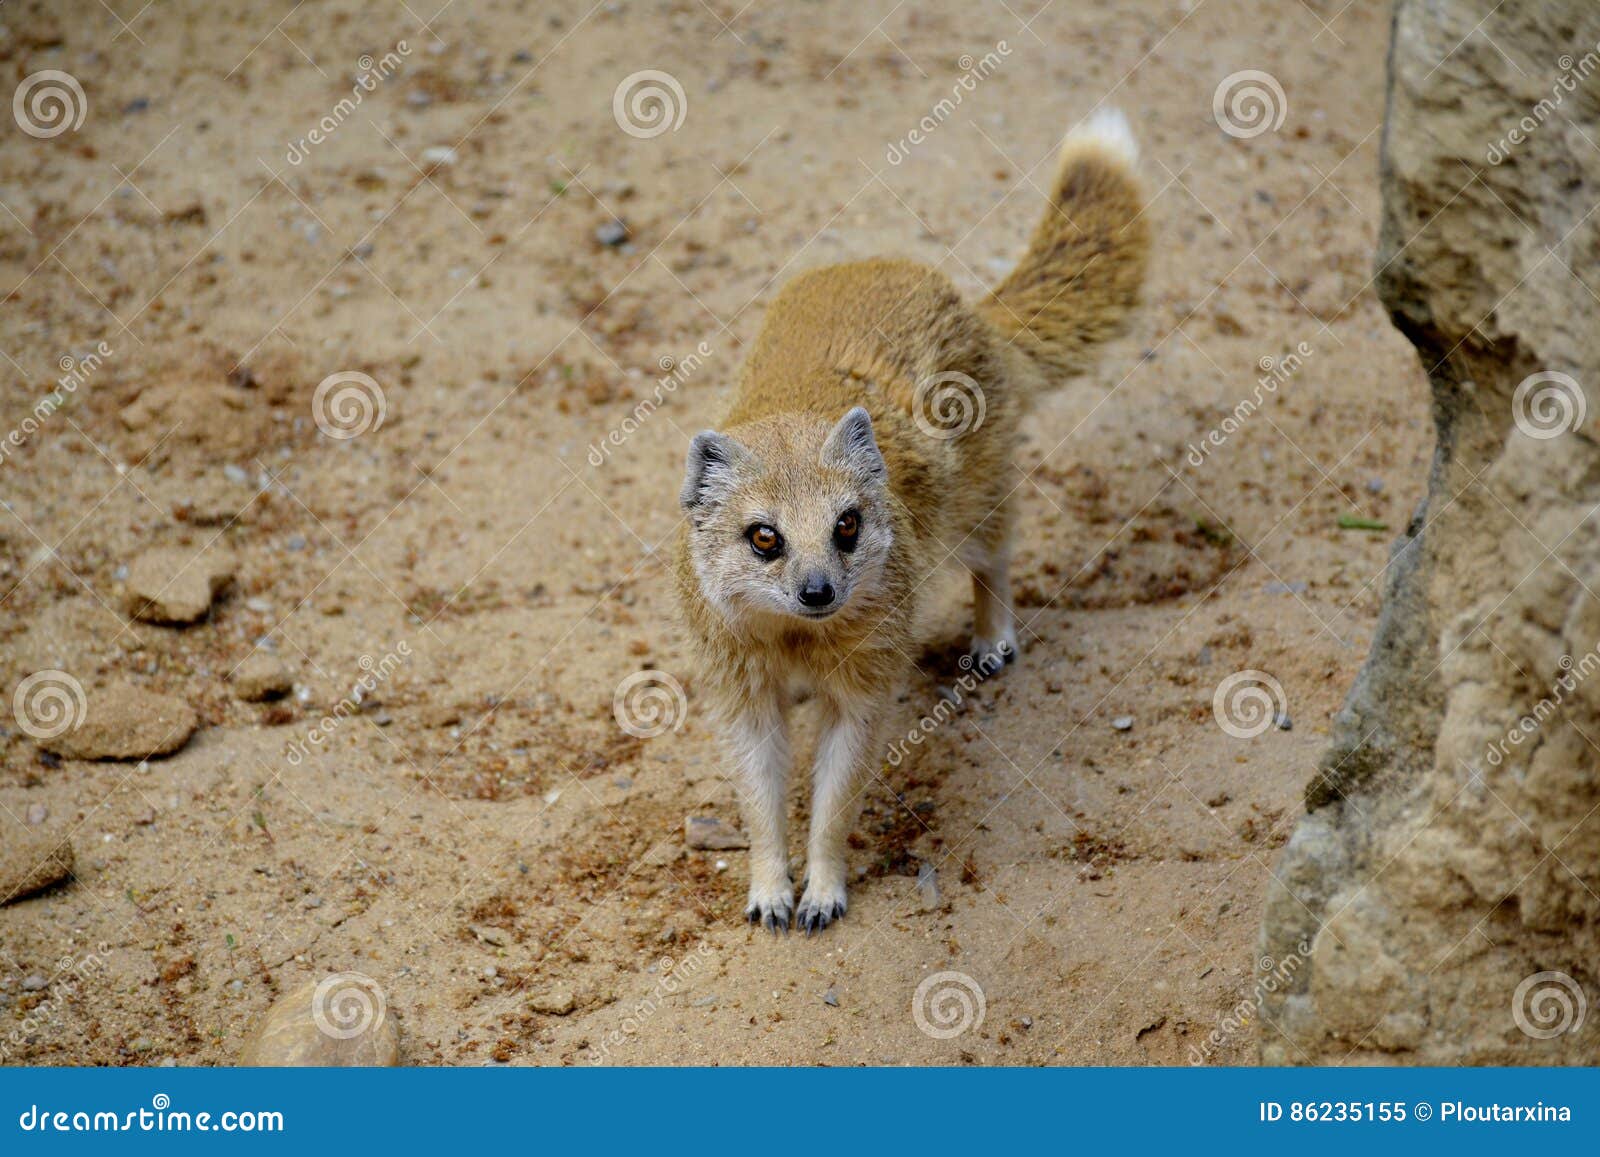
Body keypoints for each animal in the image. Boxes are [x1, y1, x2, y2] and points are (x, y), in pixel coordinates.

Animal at [673, 108, 1150, 933]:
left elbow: (837, 792)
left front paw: (823, 890)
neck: (796, 643)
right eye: (763, 536)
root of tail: (969, 308)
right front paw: (769, 889)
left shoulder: (868, 674)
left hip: (982, 491)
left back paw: (993, 640)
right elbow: (758, 789)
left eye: (848, 524)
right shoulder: (734, 676)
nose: (819, 589)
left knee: (994, 554)